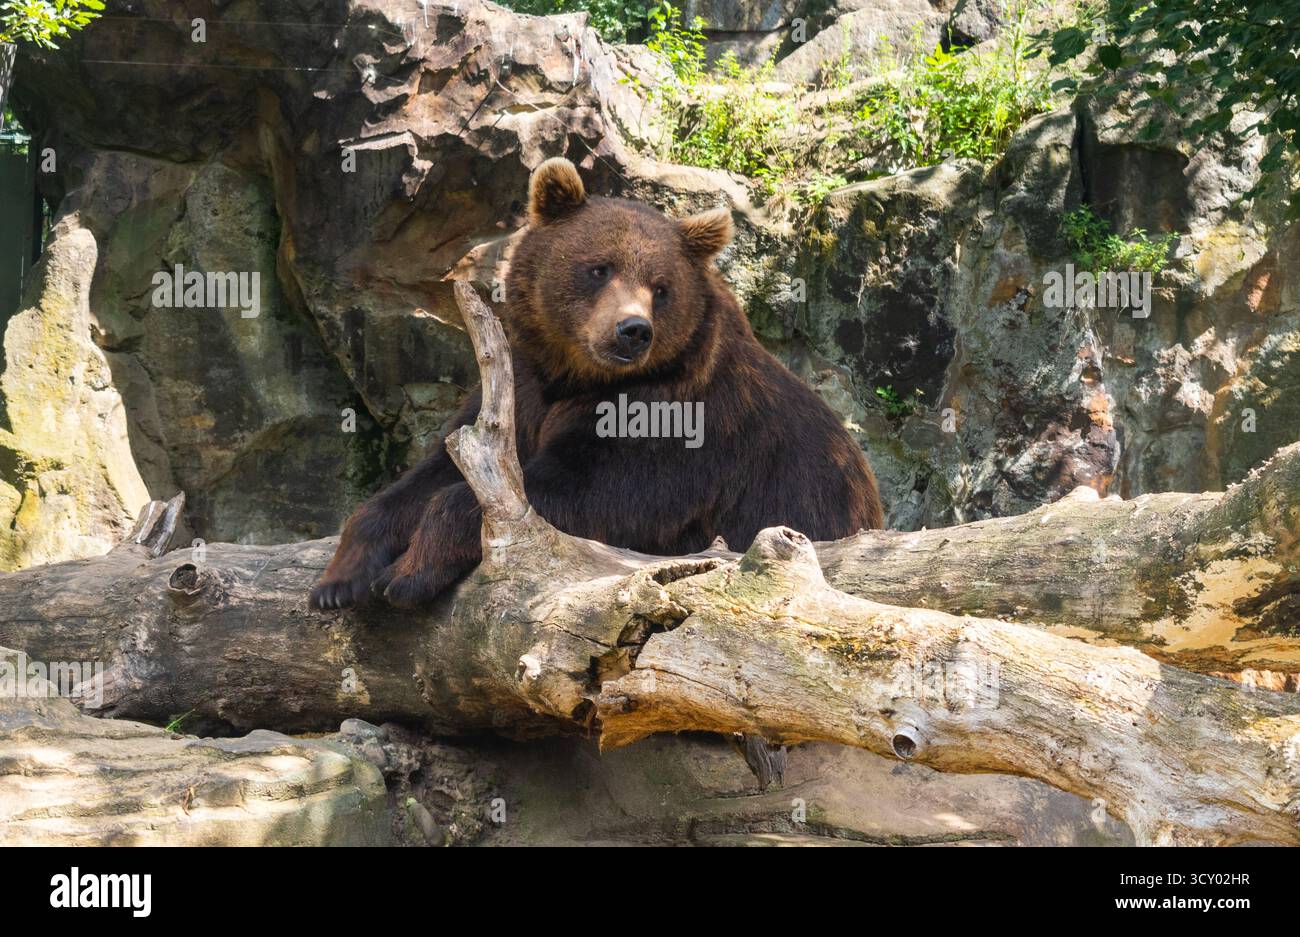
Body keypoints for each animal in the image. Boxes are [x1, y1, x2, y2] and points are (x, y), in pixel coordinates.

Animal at [310, 157, 883, 611]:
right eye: (599, 268)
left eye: (661, 287)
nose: (633, 330)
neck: (576, 374)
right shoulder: (520, 387)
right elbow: (434, 469)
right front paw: (339, 581)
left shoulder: (679, 417)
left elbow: (590, 491)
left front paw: (405, 574)